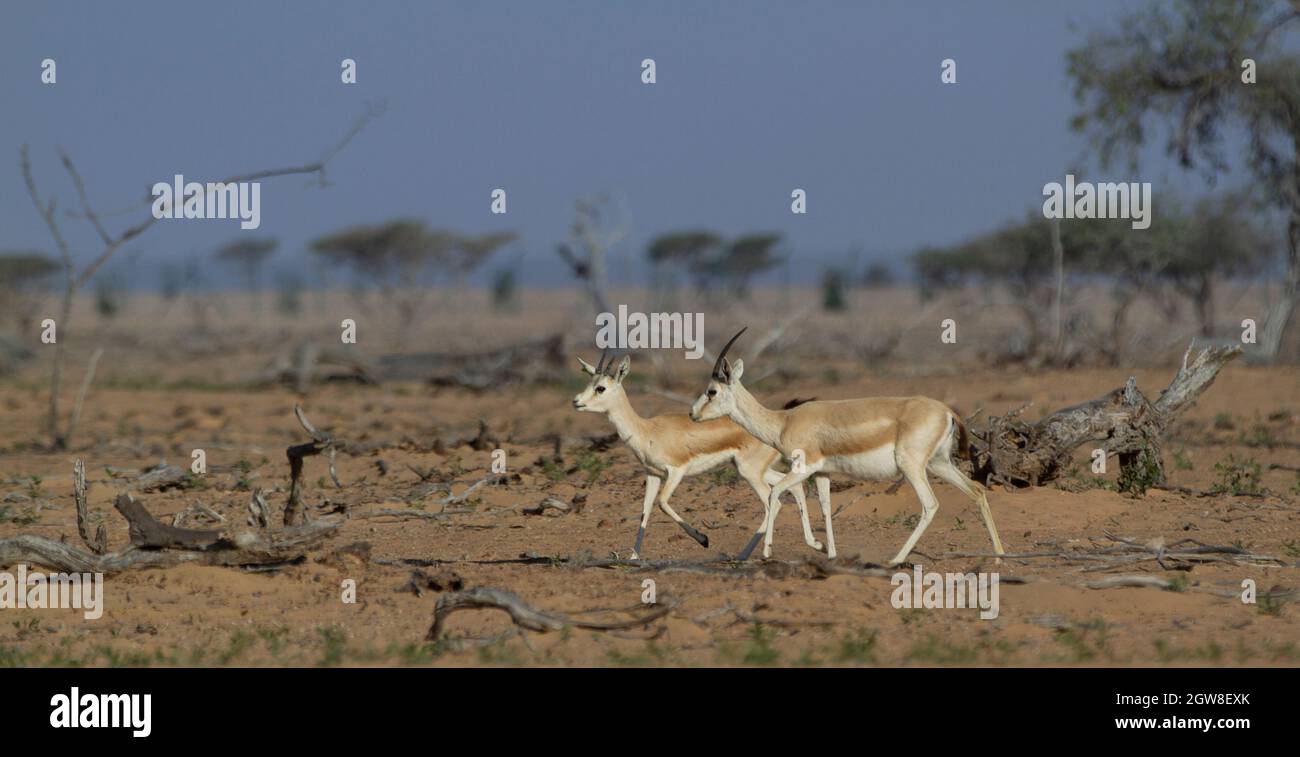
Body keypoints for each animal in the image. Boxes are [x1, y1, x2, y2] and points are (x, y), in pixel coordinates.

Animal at [572, 351, 822, 560]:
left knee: (775, 503)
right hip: (756, 470)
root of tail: (779, 419)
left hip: (750, 473)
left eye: (601, 388)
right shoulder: (653, 474)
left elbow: (662, 503)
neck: (647, 431)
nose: (576, 401)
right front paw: (633, 558)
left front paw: (703, 539)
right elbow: (645, 511)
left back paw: (749, 554)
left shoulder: (676, 471)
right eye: (589, 383)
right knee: (792, 487)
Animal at [689, 328, 1004, 566]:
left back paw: (896, 559)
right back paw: (999, 556)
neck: (783, 421)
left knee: (930, 505)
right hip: (939, 463)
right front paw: (828, 552)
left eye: (712, 391)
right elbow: (826, 508)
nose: (692, 414)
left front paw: (773, 551)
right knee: (977, 491)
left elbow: (777, 493)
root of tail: (947, 411)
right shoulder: (822, 472)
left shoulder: (805, 466)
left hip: (912, 466)